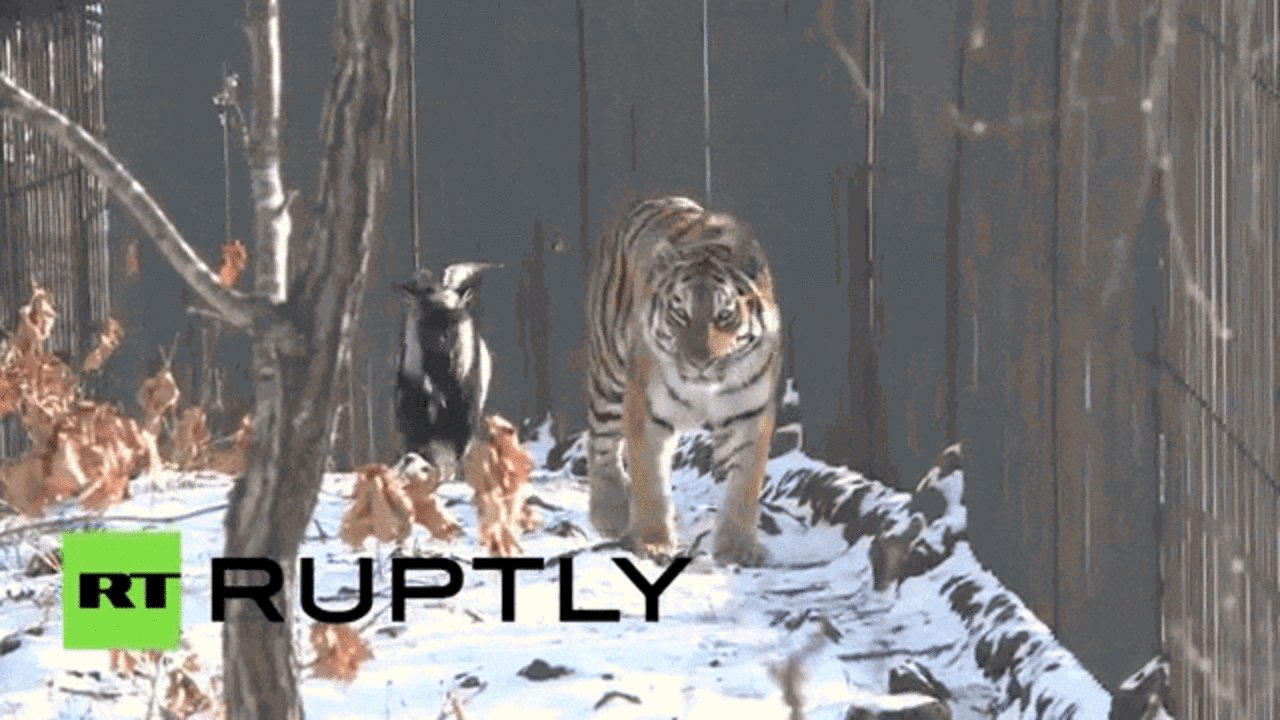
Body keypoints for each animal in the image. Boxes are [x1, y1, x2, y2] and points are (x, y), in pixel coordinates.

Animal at [584, 196, 782, 566]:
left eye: (724, 315)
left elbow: (744, 485)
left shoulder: (749, 415)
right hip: (609, 375)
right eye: (680, 314)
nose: (700, 362)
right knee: (601, 443)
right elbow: (650, 482)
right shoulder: (646, 412)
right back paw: (611, 514)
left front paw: (737, 547)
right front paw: (653, 543)